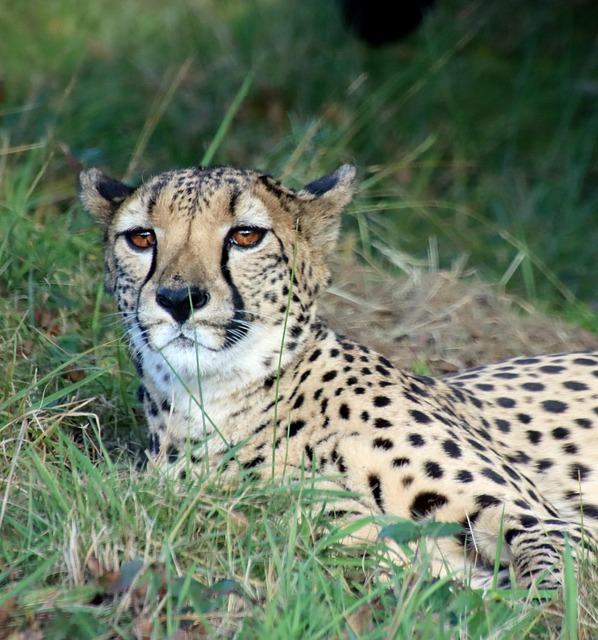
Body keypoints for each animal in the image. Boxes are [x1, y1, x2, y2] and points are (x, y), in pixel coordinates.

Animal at [80, 162, 598, 590]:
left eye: (245, 236)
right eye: (142, 238)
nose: (178, 299)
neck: (218, 403)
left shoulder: (551, 525)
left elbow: (547, 588)